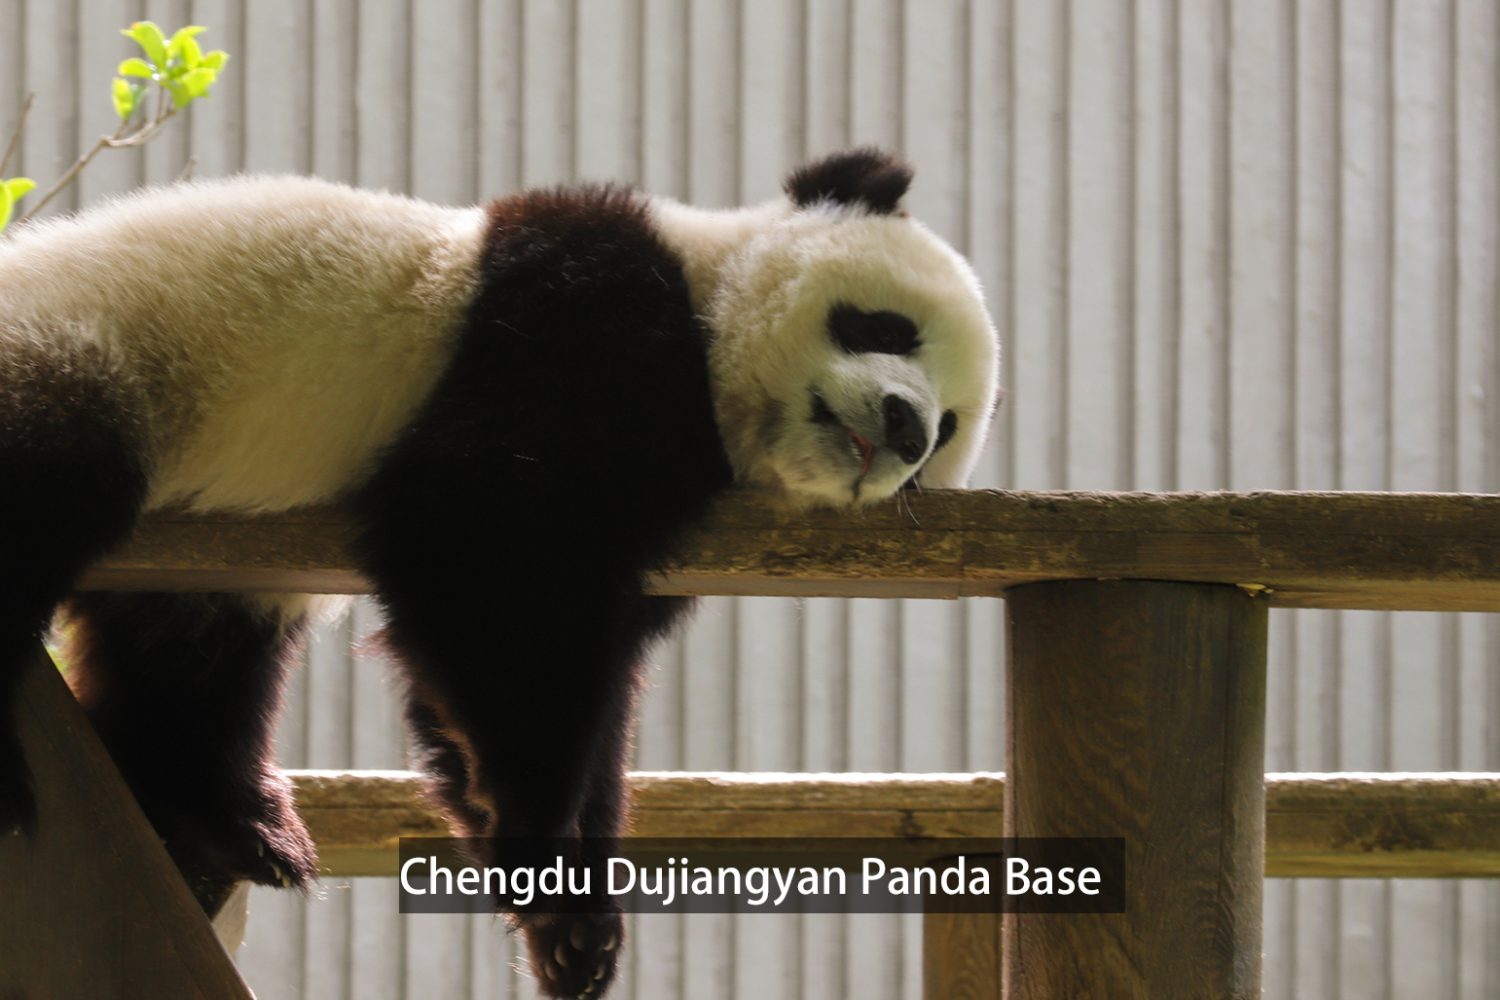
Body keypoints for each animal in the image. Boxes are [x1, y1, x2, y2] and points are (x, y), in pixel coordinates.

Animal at [0, 148, 999, 998]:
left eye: (949, 430)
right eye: (884, 326)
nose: (908, 429)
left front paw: (577, 931)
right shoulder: (577, 316)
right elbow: (488, 559)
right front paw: (538, 847)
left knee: (190, 651)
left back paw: (230, 822)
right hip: (94, 351)